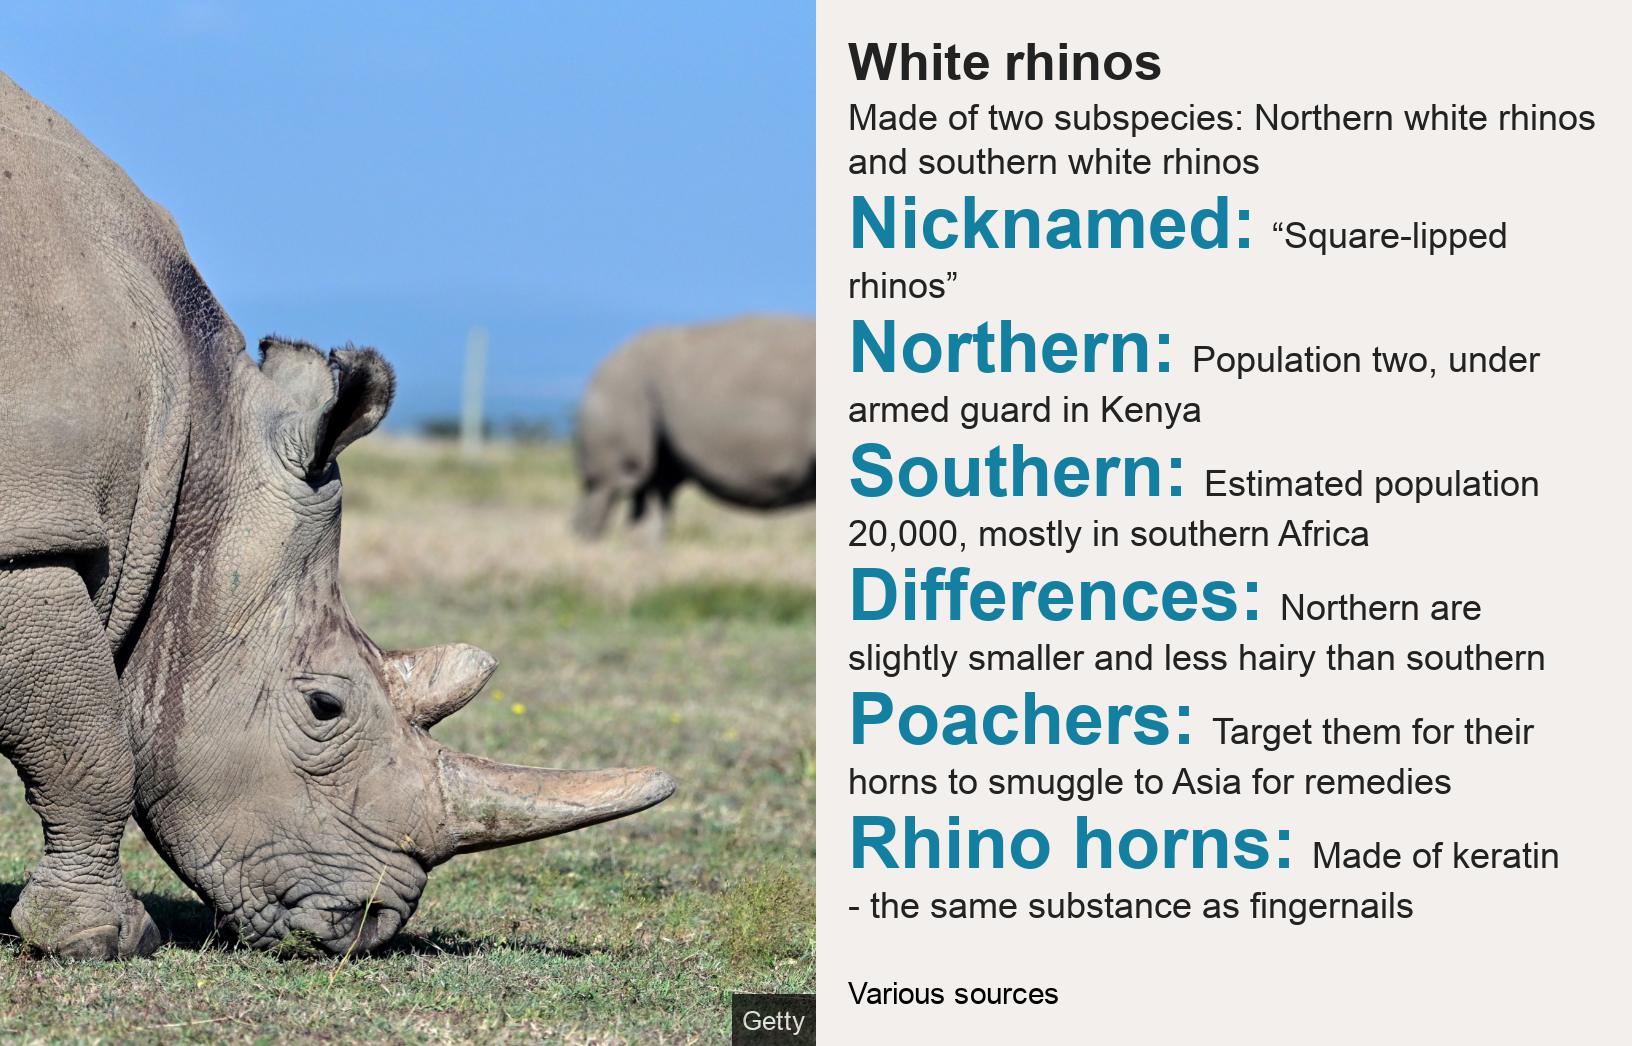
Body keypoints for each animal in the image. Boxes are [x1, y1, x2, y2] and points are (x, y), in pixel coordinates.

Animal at [0, 73, 673, 960]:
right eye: (326, 707)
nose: (365, 925)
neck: (200, 442)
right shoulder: (32, 535)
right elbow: (88, 742)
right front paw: (102, 941)